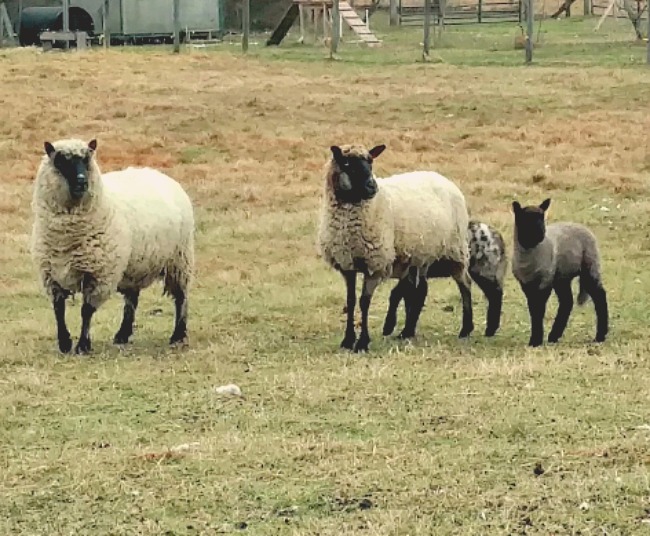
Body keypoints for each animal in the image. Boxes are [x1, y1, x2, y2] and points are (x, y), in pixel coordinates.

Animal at [30, 138, 195, 354]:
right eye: (61, 160)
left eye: (87, 159)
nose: (82, 182)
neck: (67, 236)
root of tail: (159, 174)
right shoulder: (51, 274)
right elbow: (59, 309)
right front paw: (64, 343)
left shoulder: (99, 274)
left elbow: (86, 311)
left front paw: (83, 345)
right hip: (135, 265)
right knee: (132, 300)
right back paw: (122, 334)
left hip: (179, 259)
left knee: (181, 297)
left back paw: (178, 335)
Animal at [317, 143, 473, 353]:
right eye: (347, 163)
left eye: (371, 161)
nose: (372, 186)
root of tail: (442, 177)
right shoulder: (347, 264)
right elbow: (350, 301)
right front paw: (348, 340)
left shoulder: (375, 264)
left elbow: (364, 302)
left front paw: (362, 342)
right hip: (420, 255)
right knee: (420, 290)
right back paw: (406, 331)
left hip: (455, 250)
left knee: (465, 284)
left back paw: (466, 329)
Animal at [511, 198, 608, 347]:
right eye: (526, 218)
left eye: (542, 217)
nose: (541, 233)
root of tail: (581, 226)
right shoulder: (526, 283)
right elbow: (533, 309)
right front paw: (535, 339)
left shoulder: (545, 280)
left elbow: (538, 310)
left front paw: (536, 340)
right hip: (562, 276)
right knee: (567, 302)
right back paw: (554, 336)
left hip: (590, 264)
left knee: (599, 296)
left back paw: (600, 336)